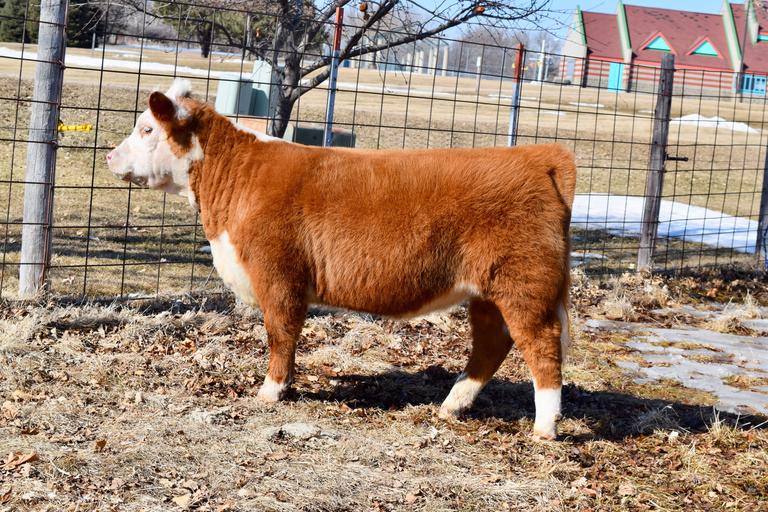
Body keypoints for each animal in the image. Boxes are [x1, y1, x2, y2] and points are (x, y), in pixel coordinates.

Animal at [107, 79, 576, 440]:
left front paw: (272, 390)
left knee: (542, 346)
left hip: (523, 285)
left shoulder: (278, 274)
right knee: (492, 343)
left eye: (146, 129)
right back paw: (452, 404)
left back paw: (545, 427)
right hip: (487, 293)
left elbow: (281, 333)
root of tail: (538, 156)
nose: (110, 156)